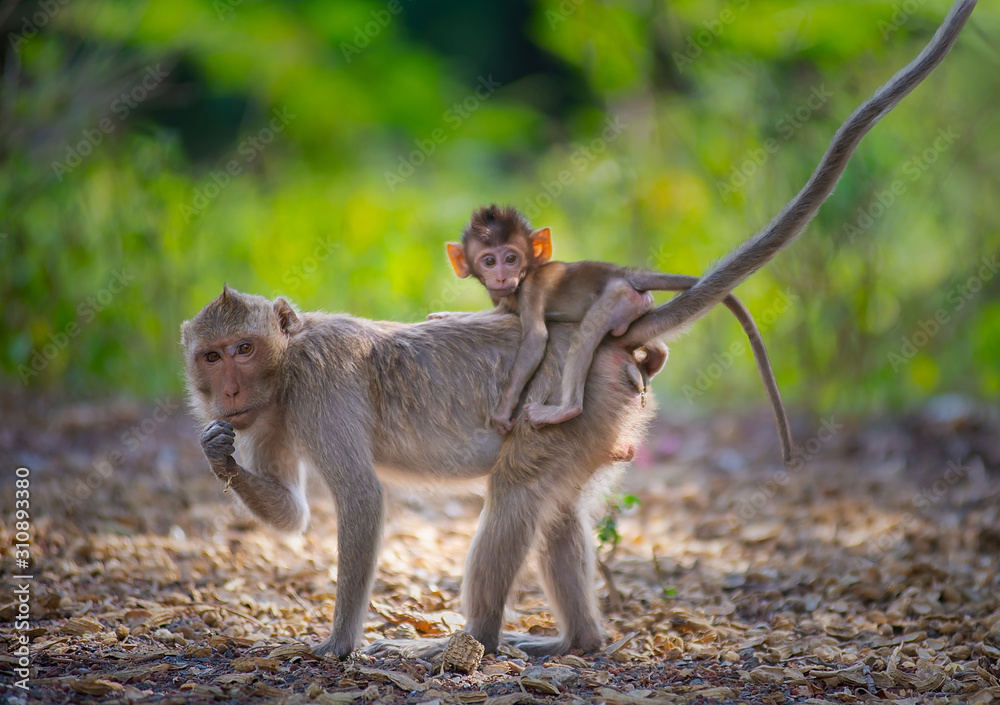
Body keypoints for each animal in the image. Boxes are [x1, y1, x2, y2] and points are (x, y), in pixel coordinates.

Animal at [437, 204, 794, 465]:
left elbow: (536, 338)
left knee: (586, 333)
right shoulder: (506, 298)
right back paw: (653, 358)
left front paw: (502, 412)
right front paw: (449, 315)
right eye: (489, 261)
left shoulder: (532, 290)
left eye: (511, 258)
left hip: (618, 297)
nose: (501, 276)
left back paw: (567, 409)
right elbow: (500, 312)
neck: (523, 279)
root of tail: (625, 273)